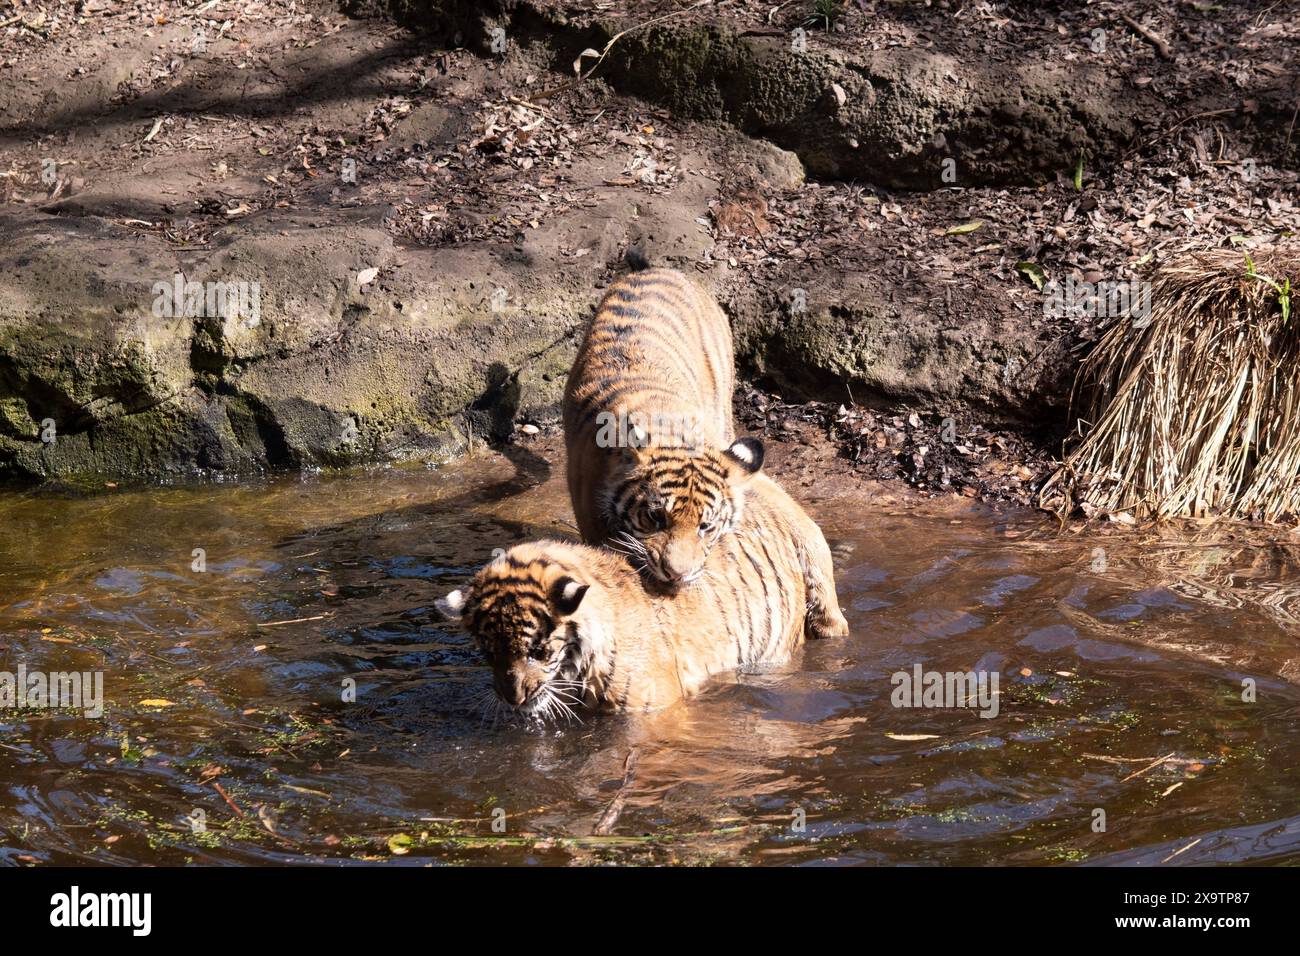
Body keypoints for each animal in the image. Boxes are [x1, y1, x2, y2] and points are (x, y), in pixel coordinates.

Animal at [562, 256, 847, 638]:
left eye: (705, 527)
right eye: (655, 517)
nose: (677, 575)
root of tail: (659, 269)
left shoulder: (739, 469)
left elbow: (807, 527)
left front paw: (831, 620)